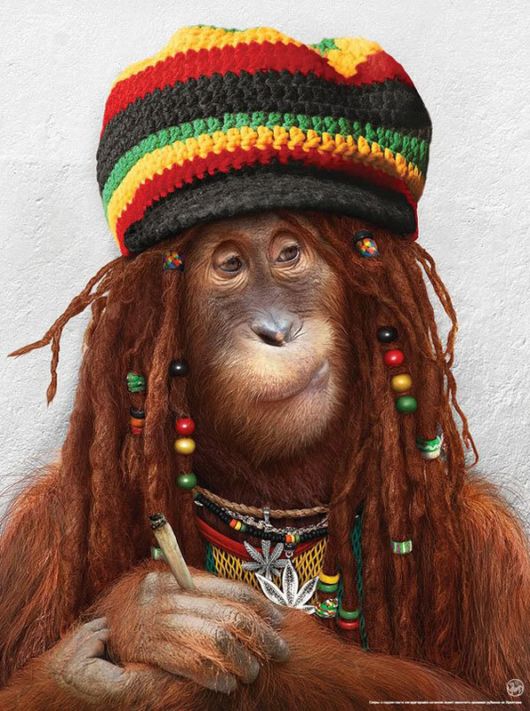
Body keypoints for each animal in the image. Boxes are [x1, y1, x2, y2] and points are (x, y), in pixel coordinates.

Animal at [0, 210, 528, 709]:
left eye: (289, 254)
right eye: (231, 265)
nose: (277, 330)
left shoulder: (489, 536)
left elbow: (490, 696)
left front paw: (157, 619)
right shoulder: (42, 525)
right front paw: (140, 624)